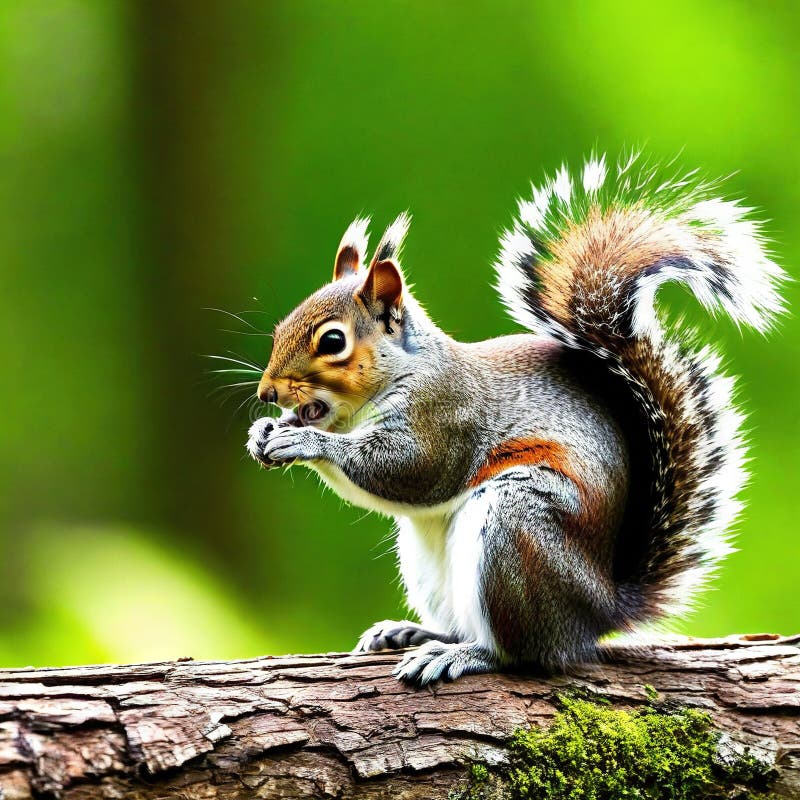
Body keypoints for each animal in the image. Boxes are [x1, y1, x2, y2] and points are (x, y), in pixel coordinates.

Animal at [246, 153, 785, 686]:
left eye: (333, 341)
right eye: (281, 327)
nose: (266, 393)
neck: (402, 371)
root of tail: (598, 609)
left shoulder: (444, 416)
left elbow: (409, 470)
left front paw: (307, 444)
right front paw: (264, 432)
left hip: (515, 529)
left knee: (522, 653)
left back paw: (464, 655)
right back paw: (414, 633)